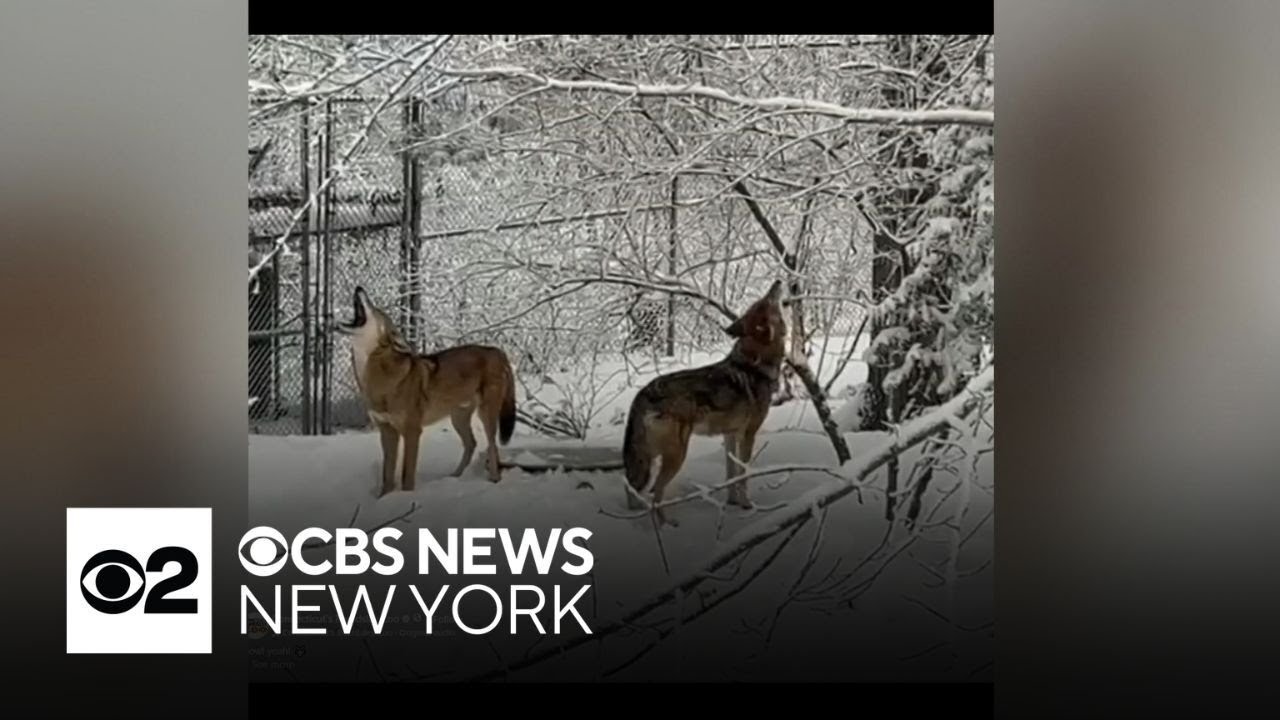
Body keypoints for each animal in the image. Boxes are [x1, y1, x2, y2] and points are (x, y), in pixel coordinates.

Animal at [334, 286, 517, 496]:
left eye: (374, 308)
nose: (359, 288)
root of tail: (497, 351)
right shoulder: (387, 431)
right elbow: (387, 474)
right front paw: (383, 497)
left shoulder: (412, 431)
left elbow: (407, 475)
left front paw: (405, 496)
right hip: (458, 418)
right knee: (472, 443)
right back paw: (455, 477)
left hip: (486, 415)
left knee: (492, 447)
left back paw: (494, 479)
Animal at [622, 280, 788, 526]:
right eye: (765, 301)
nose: (777, 281)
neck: (755, 364)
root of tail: (643, 393)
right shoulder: (748, 435)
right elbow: (743, 475)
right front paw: (746, 505)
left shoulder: (729, 435)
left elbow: (731, 474)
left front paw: (732, 503)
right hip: (674, 455)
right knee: (655, 492)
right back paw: (665, 525)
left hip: (648, 457)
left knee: (632, 487)